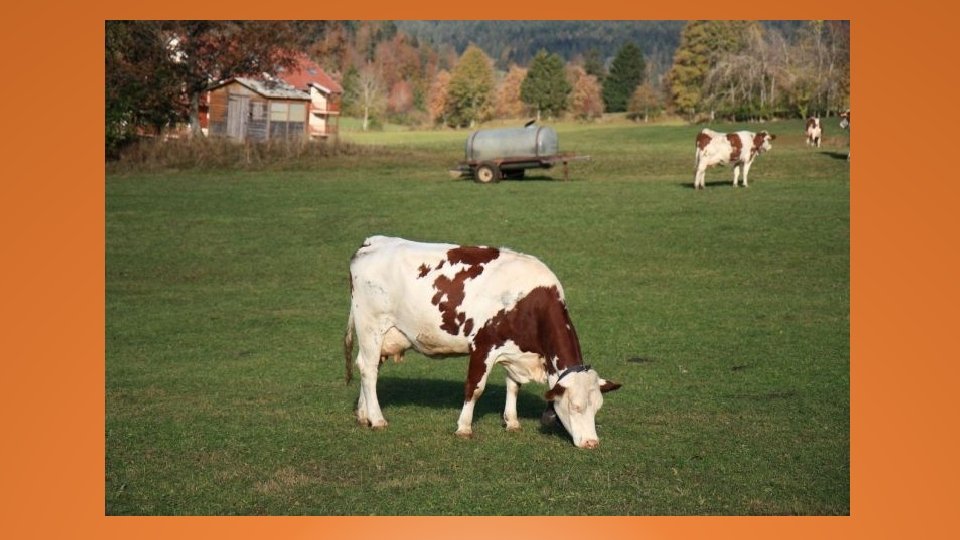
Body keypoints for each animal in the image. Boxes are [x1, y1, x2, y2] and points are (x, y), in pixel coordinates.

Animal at [344, 235, 622, 449]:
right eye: (575, 406)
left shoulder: (515, 351)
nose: (591, 443)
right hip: (370, 326)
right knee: (369, 370)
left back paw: (363, 415)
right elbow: (474, 388)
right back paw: (378, 419)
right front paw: (464, 427)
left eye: (597, 408)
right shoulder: (483, 345)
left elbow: (513, 386)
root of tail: (373, 242)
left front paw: (512, 422)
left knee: (366, 368)